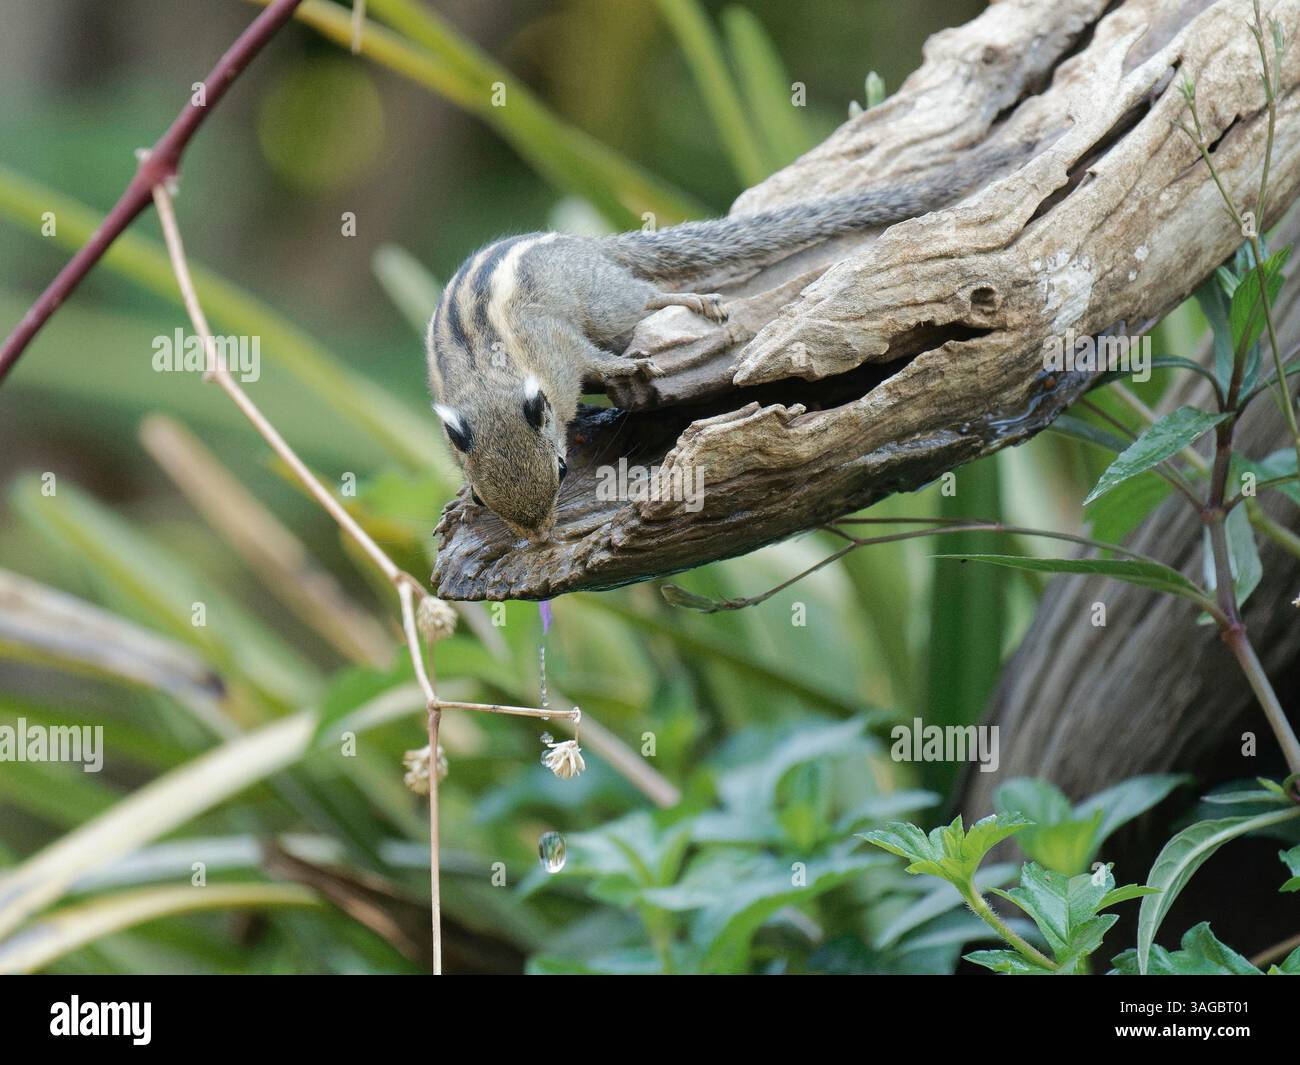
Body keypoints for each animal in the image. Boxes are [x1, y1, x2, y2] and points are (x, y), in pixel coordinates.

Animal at [426, 140, 1027, 542]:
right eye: (486, 494)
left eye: (562, 470)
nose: (539, 539)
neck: (490, 383)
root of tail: (585, 245)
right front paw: (459, 505)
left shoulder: (558, 344)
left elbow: (595, 357)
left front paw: (626, 369)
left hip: (604, 301)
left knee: (643, 297)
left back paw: (692, 301)